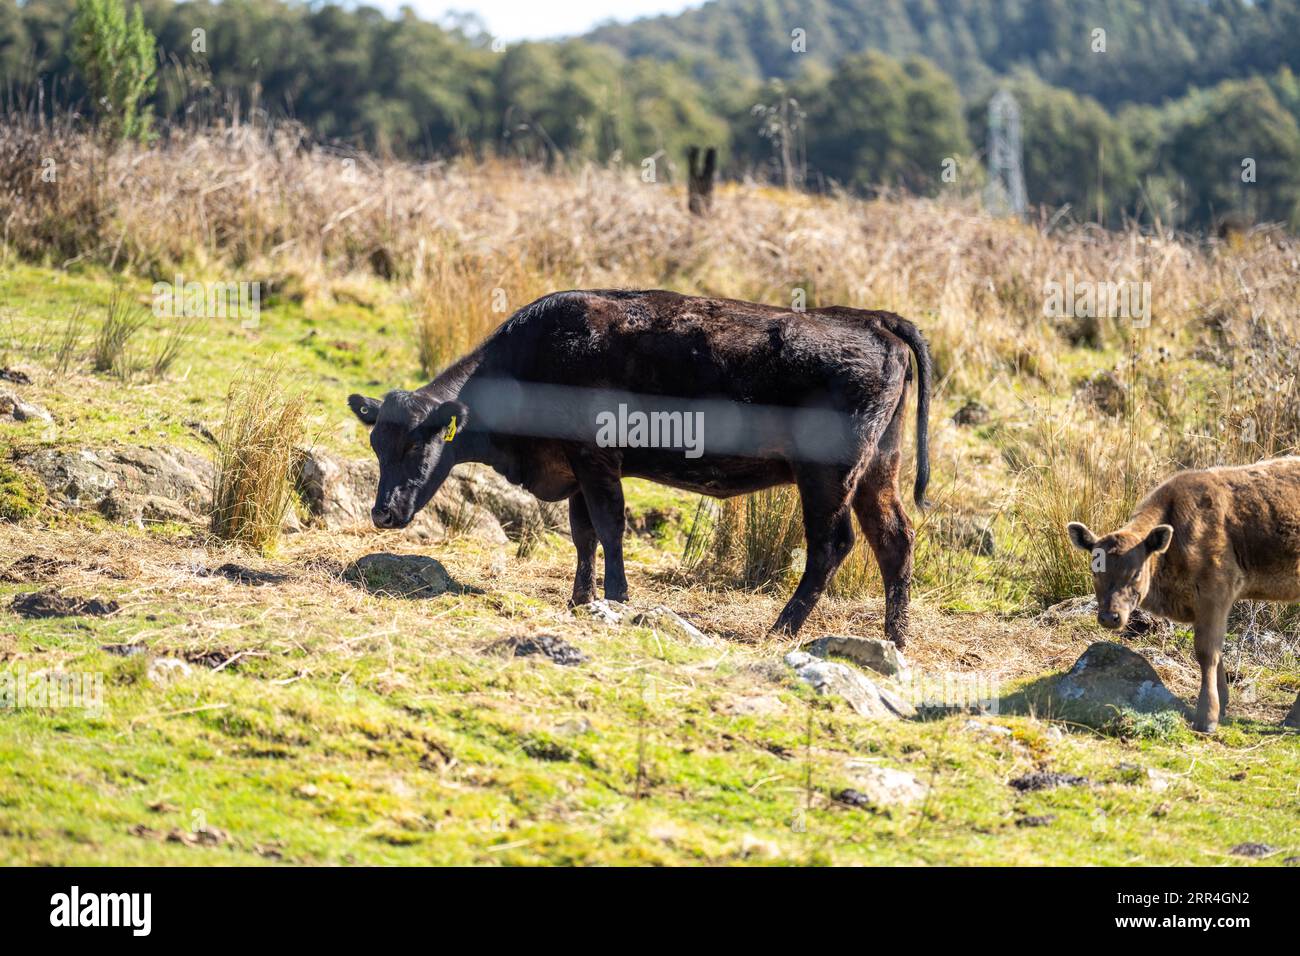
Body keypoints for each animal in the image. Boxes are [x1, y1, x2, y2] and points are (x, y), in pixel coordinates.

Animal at [348, 289, 931, 644]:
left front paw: (616, 597)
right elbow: (583, 534)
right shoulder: (575, 468)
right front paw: (580, 599)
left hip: (828, 475)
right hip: (878, 470)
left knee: (832, 545)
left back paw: (782, 629)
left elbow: (610, 526)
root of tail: (872, 319)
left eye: (418, 445)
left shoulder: (596, 457)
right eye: (377, 444)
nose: (383, 513)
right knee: (894, 540)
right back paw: (895, 637)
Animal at [1067, 456, 1300, 733]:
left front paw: (1207, 717)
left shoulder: (1215, 594)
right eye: (1095, 571)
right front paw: (1221, 705)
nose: (1109, 617)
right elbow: (1217, 652)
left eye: (1136, 573)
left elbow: (1207, 652)